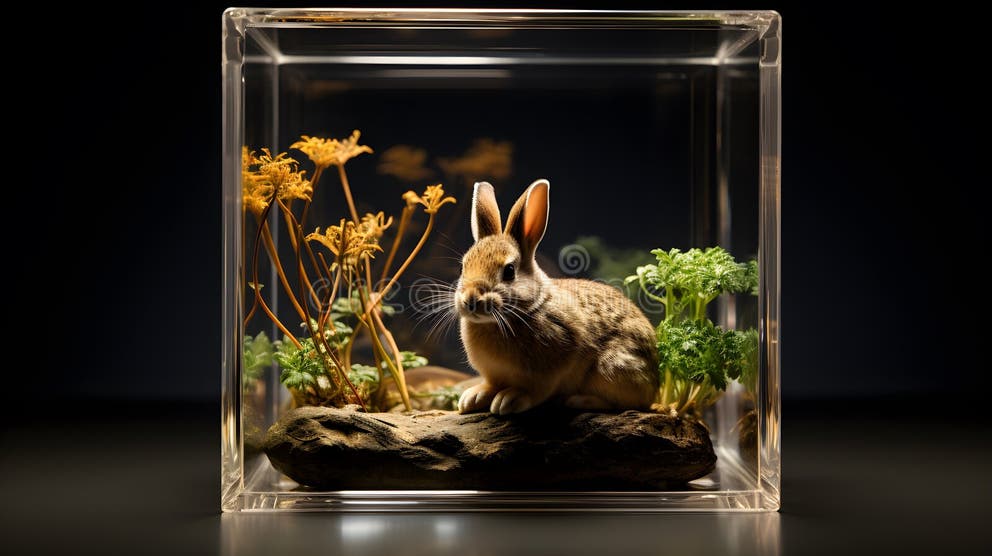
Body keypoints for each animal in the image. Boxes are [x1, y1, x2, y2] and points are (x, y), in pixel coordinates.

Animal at [456, 179, 660, 415]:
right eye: (463, 266)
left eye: (509, 271)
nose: (470, 300)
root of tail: (656, 383)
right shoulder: (494, 375)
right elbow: (491, 384)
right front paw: (472, 398)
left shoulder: (551, 368)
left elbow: (536, 391)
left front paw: (509, 400)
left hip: (612, 368)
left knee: (628, 403)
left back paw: (579, 401)